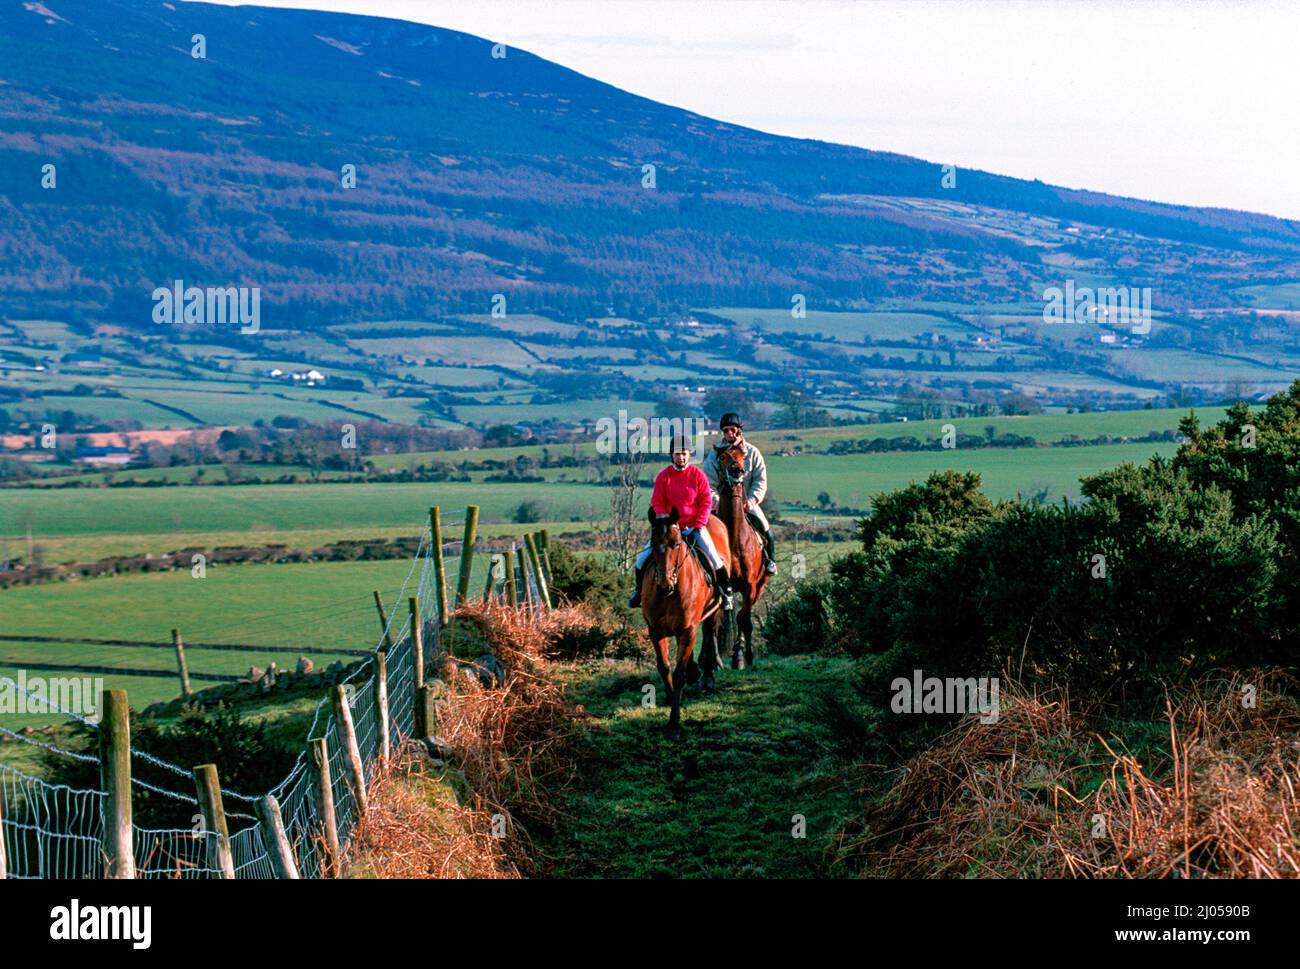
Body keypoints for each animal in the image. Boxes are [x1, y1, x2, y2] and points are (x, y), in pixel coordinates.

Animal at [640, 507, 731, 740]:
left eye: (676, 543)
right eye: (652, 542)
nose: (664, 585)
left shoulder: (688, 630)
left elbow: (678, 674)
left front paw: (674, 724)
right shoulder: (655, 631)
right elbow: (664, 666)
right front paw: (670, 695)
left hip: (713, 610)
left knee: (710, 632)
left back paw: (707, 676)